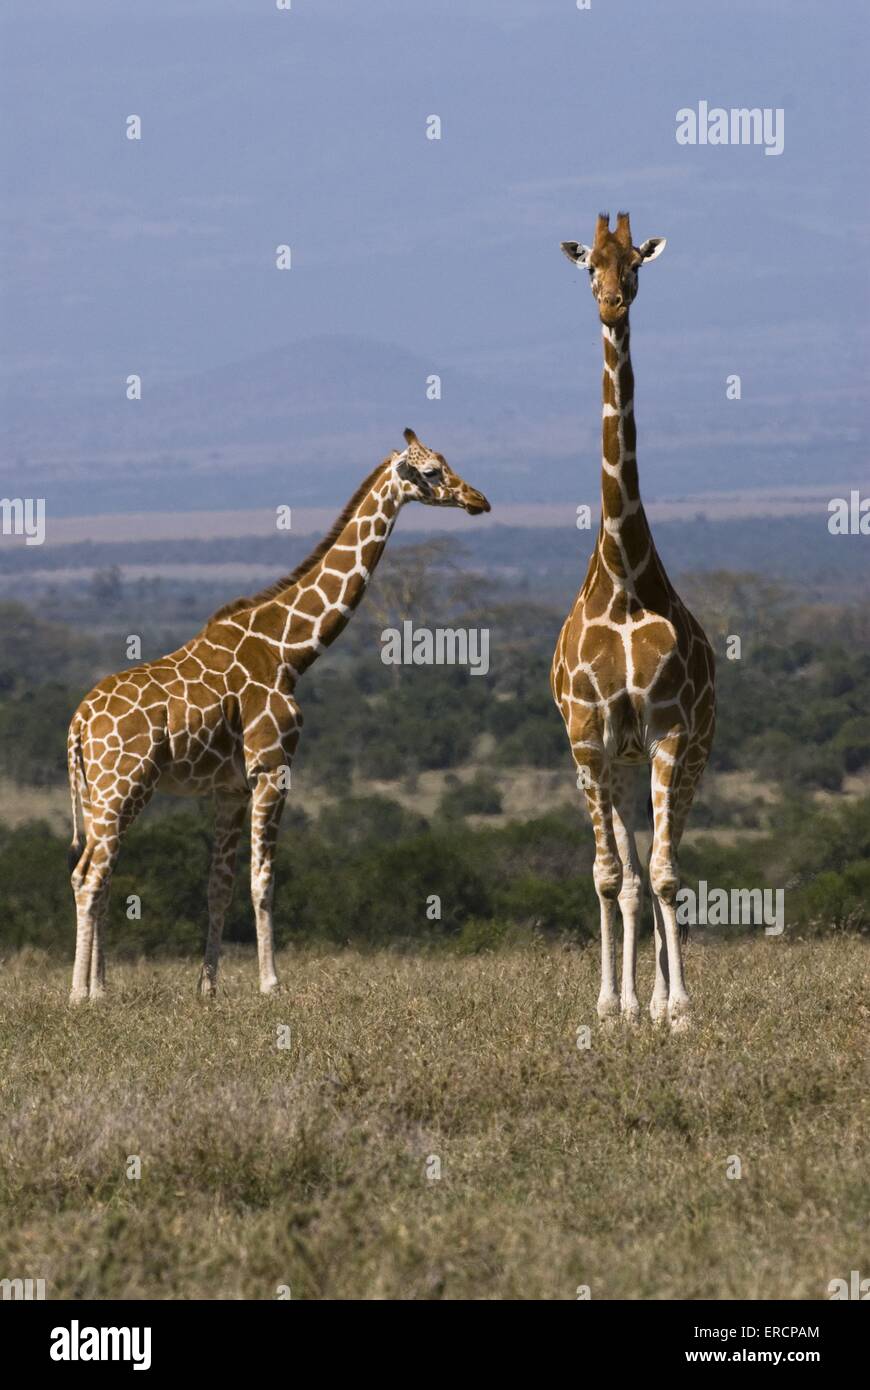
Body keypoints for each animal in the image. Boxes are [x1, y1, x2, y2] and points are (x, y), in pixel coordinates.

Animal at [67, 428, 489, 1006]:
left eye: (446, 462)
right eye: (429, 471)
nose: (478, 500)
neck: (290, 649)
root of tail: (77, 726)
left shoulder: (228, 788)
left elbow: (219, 886)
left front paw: (208, 987)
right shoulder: (272, 768)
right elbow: (262, 879)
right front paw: (271, 983)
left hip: (101, 794)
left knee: (92, 875)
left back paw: (100, 988)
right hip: (121, 786)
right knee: (91, 877)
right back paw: (79, 995)